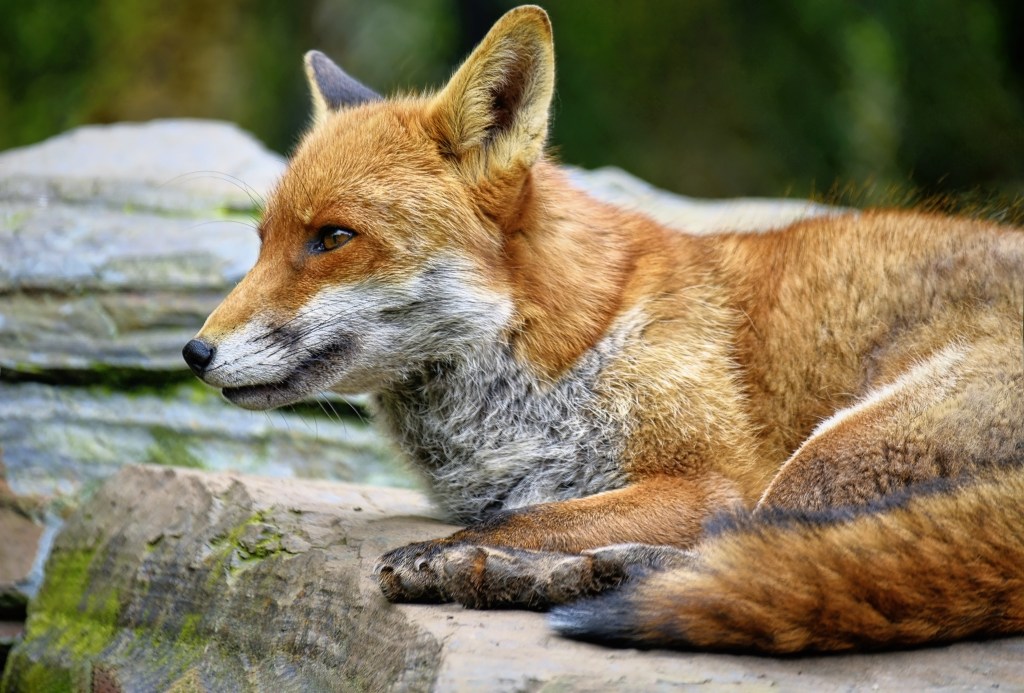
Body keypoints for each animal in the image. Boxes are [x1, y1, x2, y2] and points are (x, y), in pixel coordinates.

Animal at [183, 6, 1024, 654]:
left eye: (332, 238)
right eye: (262, 242)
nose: (194, 352)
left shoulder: (705, 475)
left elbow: (529, 516)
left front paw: (459, 553)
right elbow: (528, 513)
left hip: (826, 457)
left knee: (744, 549)